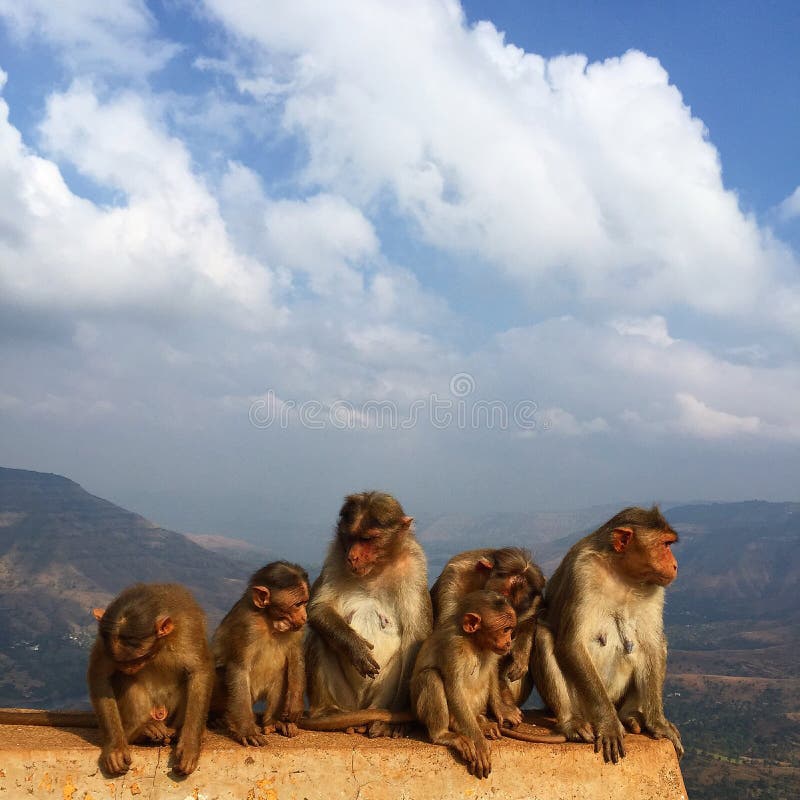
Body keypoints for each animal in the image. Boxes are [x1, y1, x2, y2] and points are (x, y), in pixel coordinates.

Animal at [86, 583, 214, 776]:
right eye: (120, 661)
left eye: (139, 658)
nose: (128, 668)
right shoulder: (105, 639)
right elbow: (99, 674)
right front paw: (115, 748)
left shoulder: (188, 628)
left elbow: (199, 672)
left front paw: (190, 746)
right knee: (131, 685)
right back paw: (141, 731)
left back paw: (178, 732)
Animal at [210, 561, 309, 745]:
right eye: (297, 604)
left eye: (305, 602)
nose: (305, 616)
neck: (269, 619)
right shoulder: (247, 625)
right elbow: (238, 669)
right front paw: (247, 731)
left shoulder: (296, 628)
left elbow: (295, 656)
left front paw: (295, 705)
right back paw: (216, 717)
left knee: (280, 673)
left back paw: (273, 722)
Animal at [305, 491, 433, 738]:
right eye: (351, 537)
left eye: (368, 539)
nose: (353, 556)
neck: (376, 570)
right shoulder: (335, 557)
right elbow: (318, 608)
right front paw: (355, 648)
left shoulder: (414, 567)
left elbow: (416, 639)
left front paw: (399, 719)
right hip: (346, 700)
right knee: (319, 635)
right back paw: (327, 711)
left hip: (378, 699)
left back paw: (387, 719)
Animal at [411, 590, 521, 778]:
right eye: (505, 630)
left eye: (511, 630)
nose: (508, 642)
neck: (473, 641)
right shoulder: (453, 647)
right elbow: (454, 689)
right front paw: (479, 743)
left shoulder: (491, 648)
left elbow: (492, 671)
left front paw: (502, 710)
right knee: (431, 677)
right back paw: (445, 733)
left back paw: (481, 723)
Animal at [531, 506, 684, 764]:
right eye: (665, 545)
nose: (674, 565)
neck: (620, 571)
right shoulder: (583, 571)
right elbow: (572, 643)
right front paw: (609, 725)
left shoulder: (654, 586)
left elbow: (652, 645)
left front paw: (658, 724)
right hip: (582, 702)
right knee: (542, 634)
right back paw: (571, 722)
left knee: (654, 644)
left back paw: (629, 715)